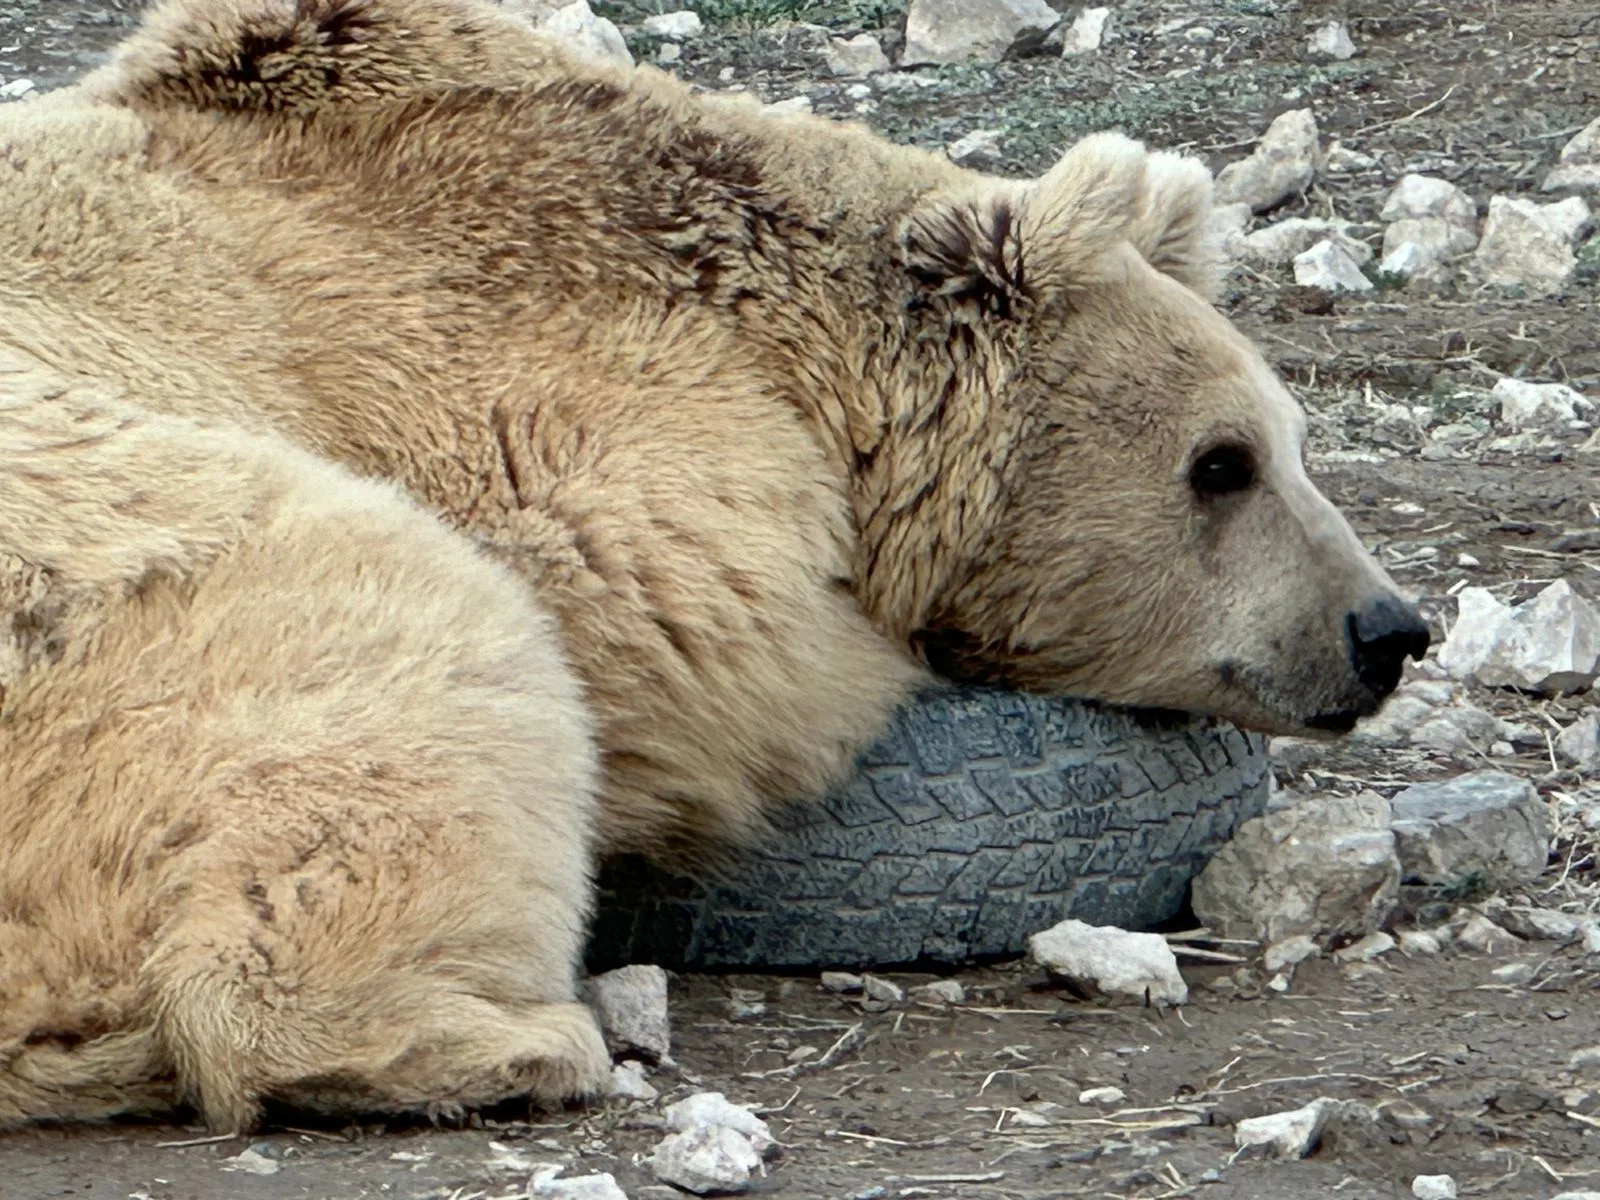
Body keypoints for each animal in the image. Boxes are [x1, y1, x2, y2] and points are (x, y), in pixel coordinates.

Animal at [0, 0, 1430, 1129]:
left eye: (1295, 440)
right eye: (1221, 461)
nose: (1384, 630)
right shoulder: (533, 386)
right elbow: (680, 629)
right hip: (127, 559)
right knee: (433, 640)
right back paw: (517, 1041)